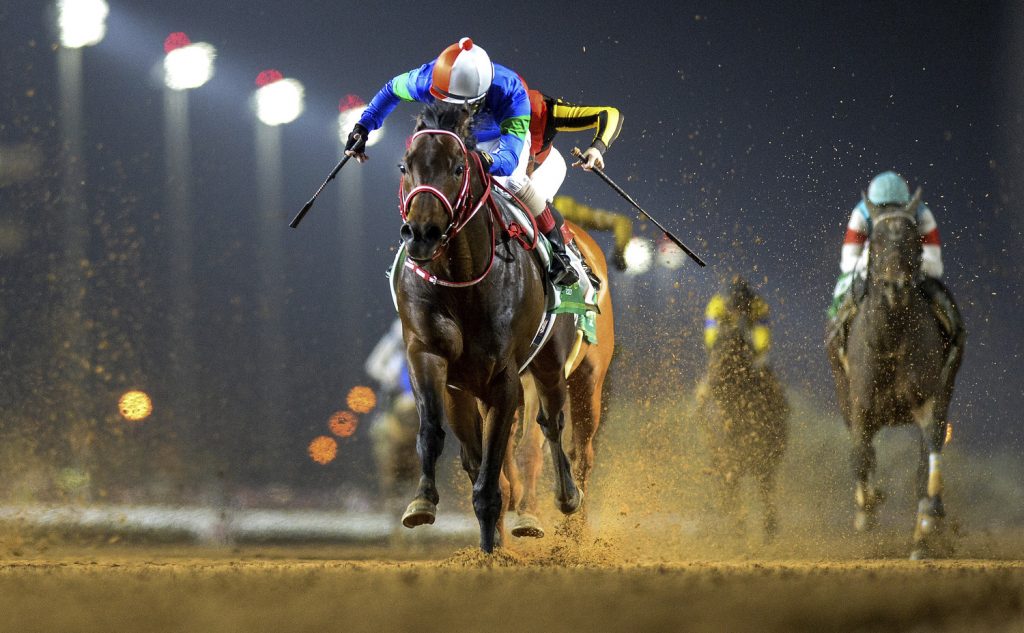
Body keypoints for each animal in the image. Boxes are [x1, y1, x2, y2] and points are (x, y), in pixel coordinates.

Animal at [394, 103, 610, 552]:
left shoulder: (504, 378)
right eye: (405, 166)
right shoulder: (432, 359)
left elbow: (496, 468)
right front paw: (423, 502)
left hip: (574, 373)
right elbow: (439, 435)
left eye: (459, 167)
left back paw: (570, 511)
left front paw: (496, 543)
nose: (422, 233)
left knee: (567, 438)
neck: (462, 280)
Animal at [696, 284, 788, 542]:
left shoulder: (764, 453)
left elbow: (764, 486)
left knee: (763, 485)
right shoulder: (725, 452)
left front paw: (768, 529)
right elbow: (730, 485)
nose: (715, 380)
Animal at [826, 189, 965, 559]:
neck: (891, 337)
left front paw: (924, 532)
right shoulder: (859, 405)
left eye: (914, 241)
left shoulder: (928, 402)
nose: (894, 286)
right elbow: (861, 456)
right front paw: (867, 509)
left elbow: (926, 464)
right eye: (875, 242)